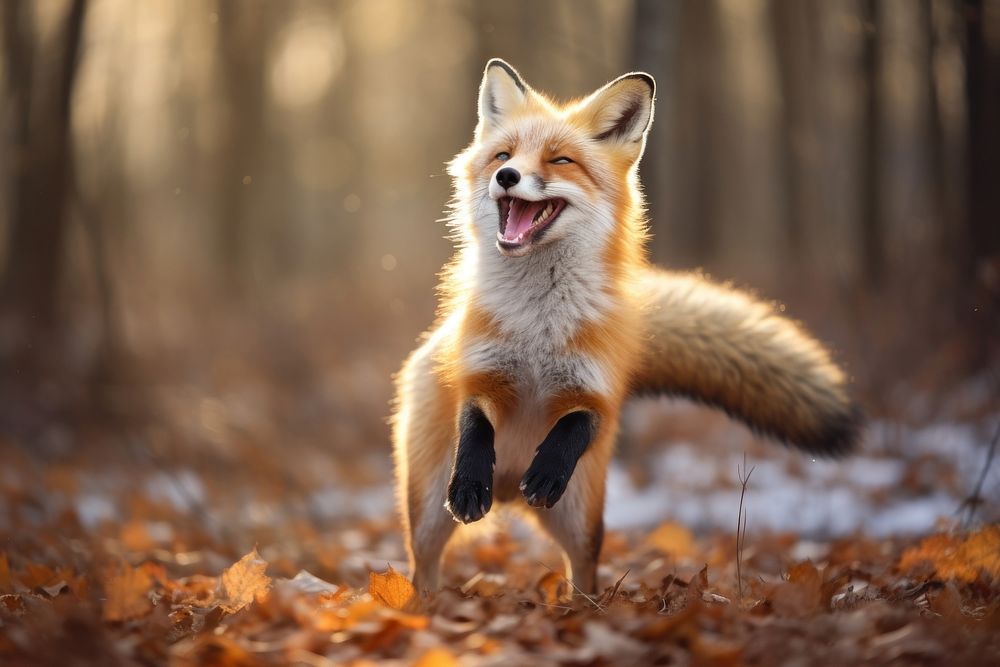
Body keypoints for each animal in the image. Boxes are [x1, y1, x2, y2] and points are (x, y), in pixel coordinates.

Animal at [392, 59, 861, 594]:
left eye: (560, 161)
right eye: (503, 156)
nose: (507, 176)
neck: (539, 329)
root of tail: (508, 489)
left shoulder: (599, 386)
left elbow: (577, 425)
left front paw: (548, 470)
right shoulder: (479, 372)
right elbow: (473, 425)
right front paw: (470, 479)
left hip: (581, 520)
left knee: (584, 573)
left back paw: (577, 607)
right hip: (427, 516)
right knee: (423, 569)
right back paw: (426, 606)